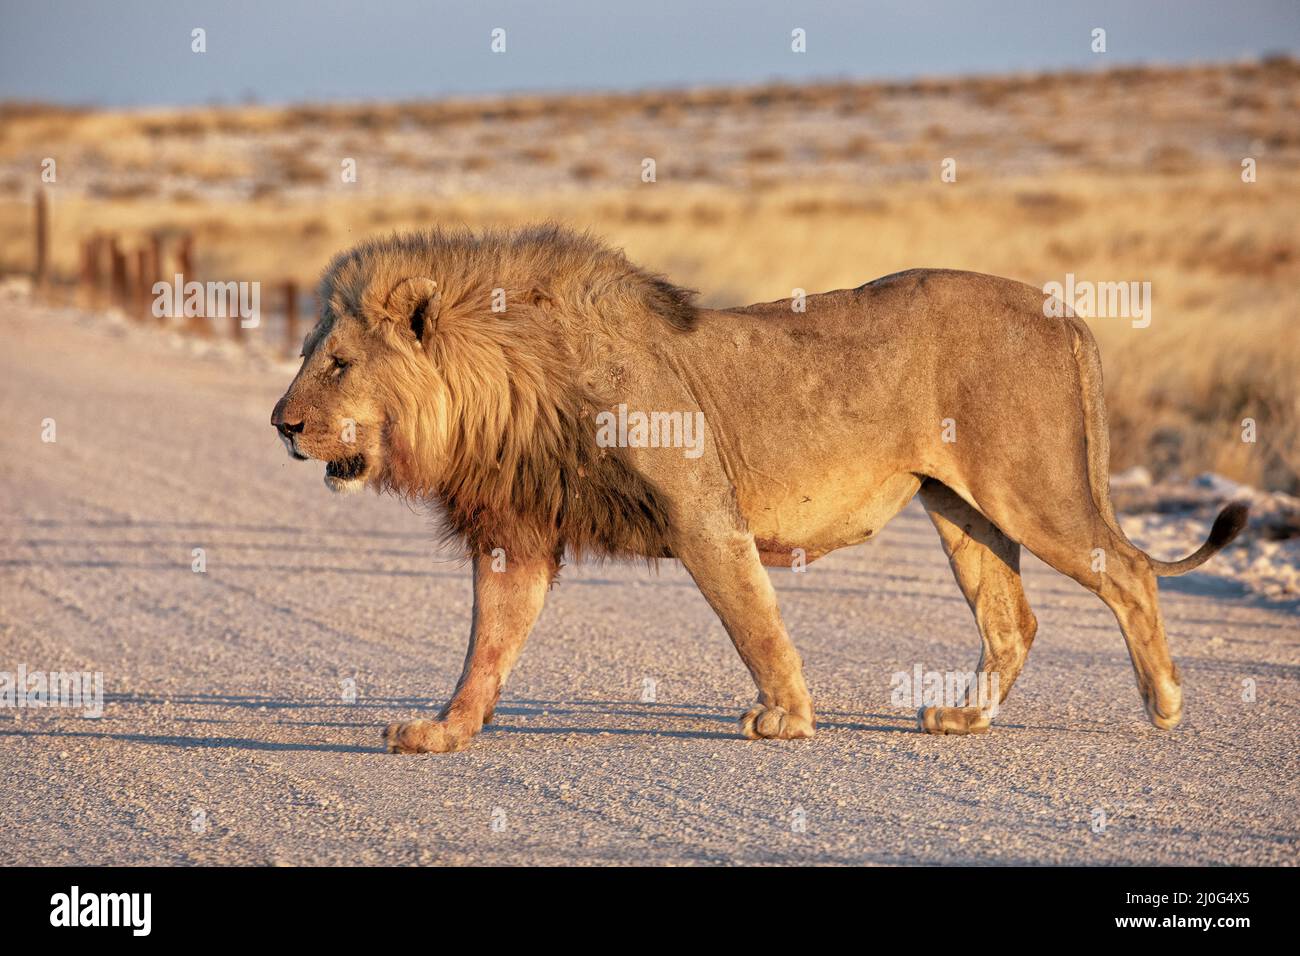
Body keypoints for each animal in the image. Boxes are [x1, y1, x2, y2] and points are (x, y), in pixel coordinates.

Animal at [271, 225, 1248, 753]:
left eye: (339, 363)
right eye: (314, 354)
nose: (282, 424)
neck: (507, 388)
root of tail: (1067, 312)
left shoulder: (704, 514)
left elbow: (753, 619)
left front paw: (786, 717)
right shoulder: (520, 533)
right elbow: (487, 648)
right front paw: (444, 732)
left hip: (1031, 488)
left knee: (1129, 571)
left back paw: (1164, 704)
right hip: (961, 507)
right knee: (1014, 620)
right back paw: (962, 721)